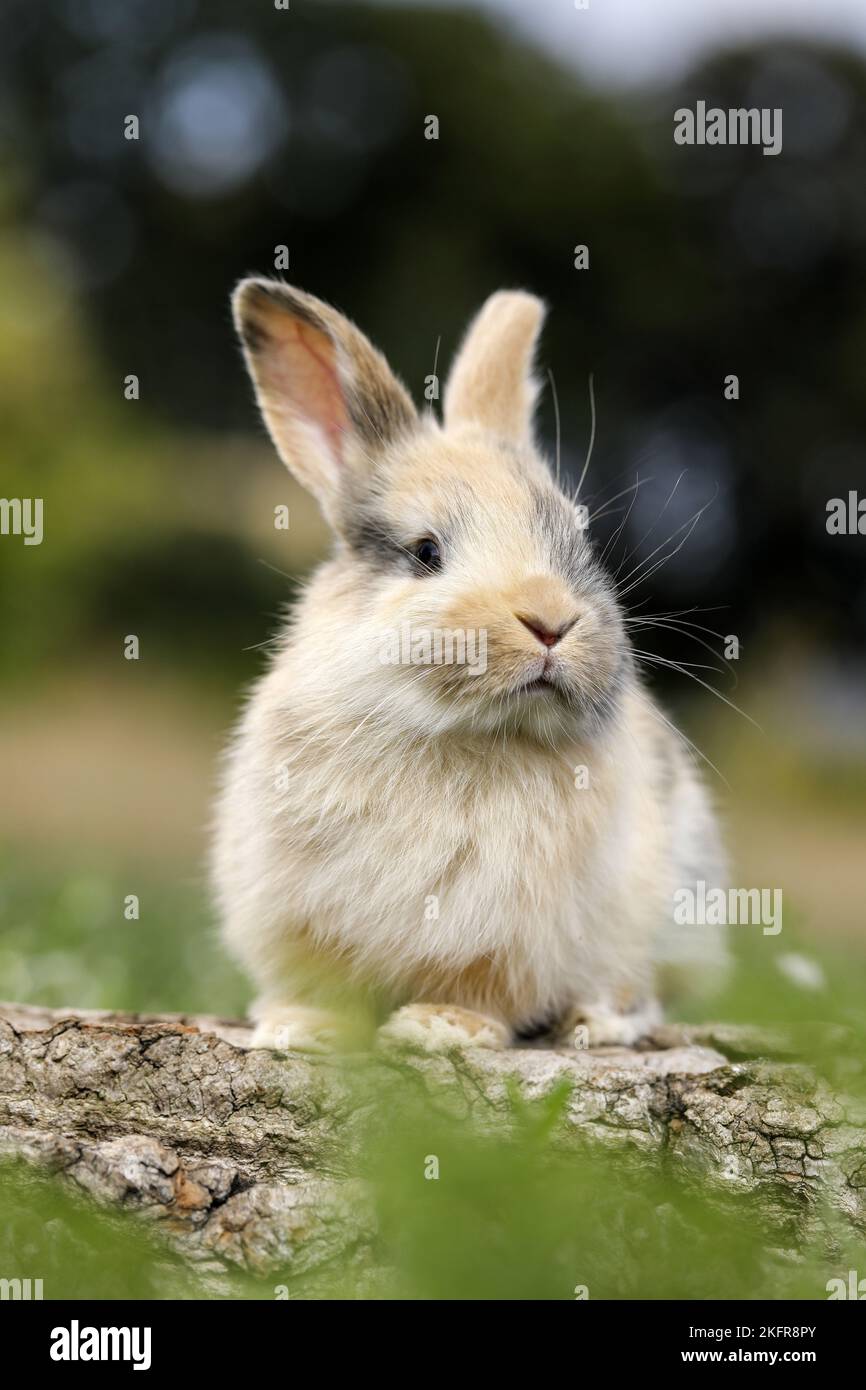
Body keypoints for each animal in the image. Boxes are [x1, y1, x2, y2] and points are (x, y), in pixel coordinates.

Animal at [211, 279, 730, 1054]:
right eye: (426, 552)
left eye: (577, 541)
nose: (550, 620)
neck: (456, 731)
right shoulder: (296, 913)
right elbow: (320, 982)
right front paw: (301, 1029)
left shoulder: (506, 934)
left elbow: (482, 984)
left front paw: (439, 1028)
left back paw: (596, 1022)